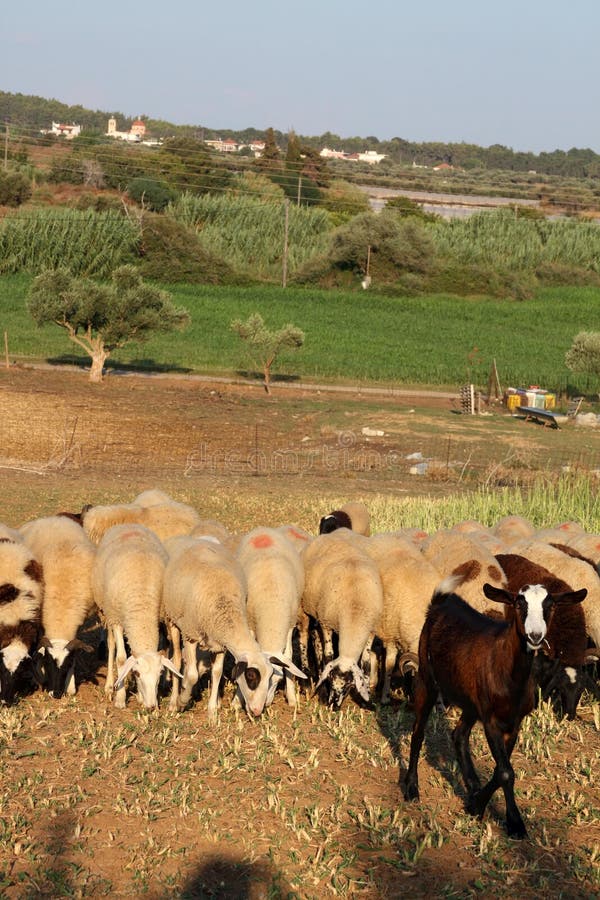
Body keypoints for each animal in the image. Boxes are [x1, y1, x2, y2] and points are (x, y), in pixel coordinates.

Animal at [92, 524, 180, 708]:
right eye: (138, 674)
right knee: (111, 645)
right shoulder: (117, 620)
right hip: (108, 611)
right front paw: (120, 698)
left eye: (159, 673)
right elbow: (121, 658)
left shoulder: (166, 617)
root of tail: (127, 524)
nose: (151, 706)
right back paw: (110, 686)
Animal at [163, 536, 295, 720]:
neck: (226, 610)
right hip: (172, 619)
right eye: (251, 675)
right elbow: (192, 675)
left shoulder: (220, 645)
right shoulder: (191, 635)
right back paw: (174, 701)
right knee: (176, 660)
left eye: (270, 676)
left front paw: (212, 712)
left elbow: (217, 673)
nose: (257, 711)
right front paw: (183, 701)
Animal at [236, 527, 307, 707]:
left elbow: (288, 655)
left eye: (277, 680)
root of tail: (263, 529)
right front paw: (236, 700)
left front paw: (292, 697)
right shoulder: (251, 622)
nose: (266, 704)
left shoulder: (290, 623)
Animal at [300, 531, 383, 707]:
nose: (333, 704)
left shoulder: (371, 629)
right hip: (305, 609)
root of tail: (327, 535)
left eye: (350, 684)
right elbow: (328, 656)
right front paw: (322, 693)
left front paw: (365, 699)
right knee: (304, 638)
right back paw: (306, 682)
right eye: (331, 680)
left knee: (314, 639)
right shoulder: (326, 623)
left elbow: (366, 663)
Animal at [403, 577, 587, 839]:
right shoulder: (491, 719)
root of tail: (441, 602)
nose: (535, 635)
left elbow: (502, 769)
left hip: (471, 699)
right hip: (426, 675)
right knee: (418, 732)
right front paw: (515, 824)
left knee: (459, 735)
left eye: (550, 605)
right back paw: (411, 788)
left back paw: (472, 784)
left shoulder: (514, 721)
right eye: (519, 604)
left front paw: (476, 805)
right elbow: (505, 772)